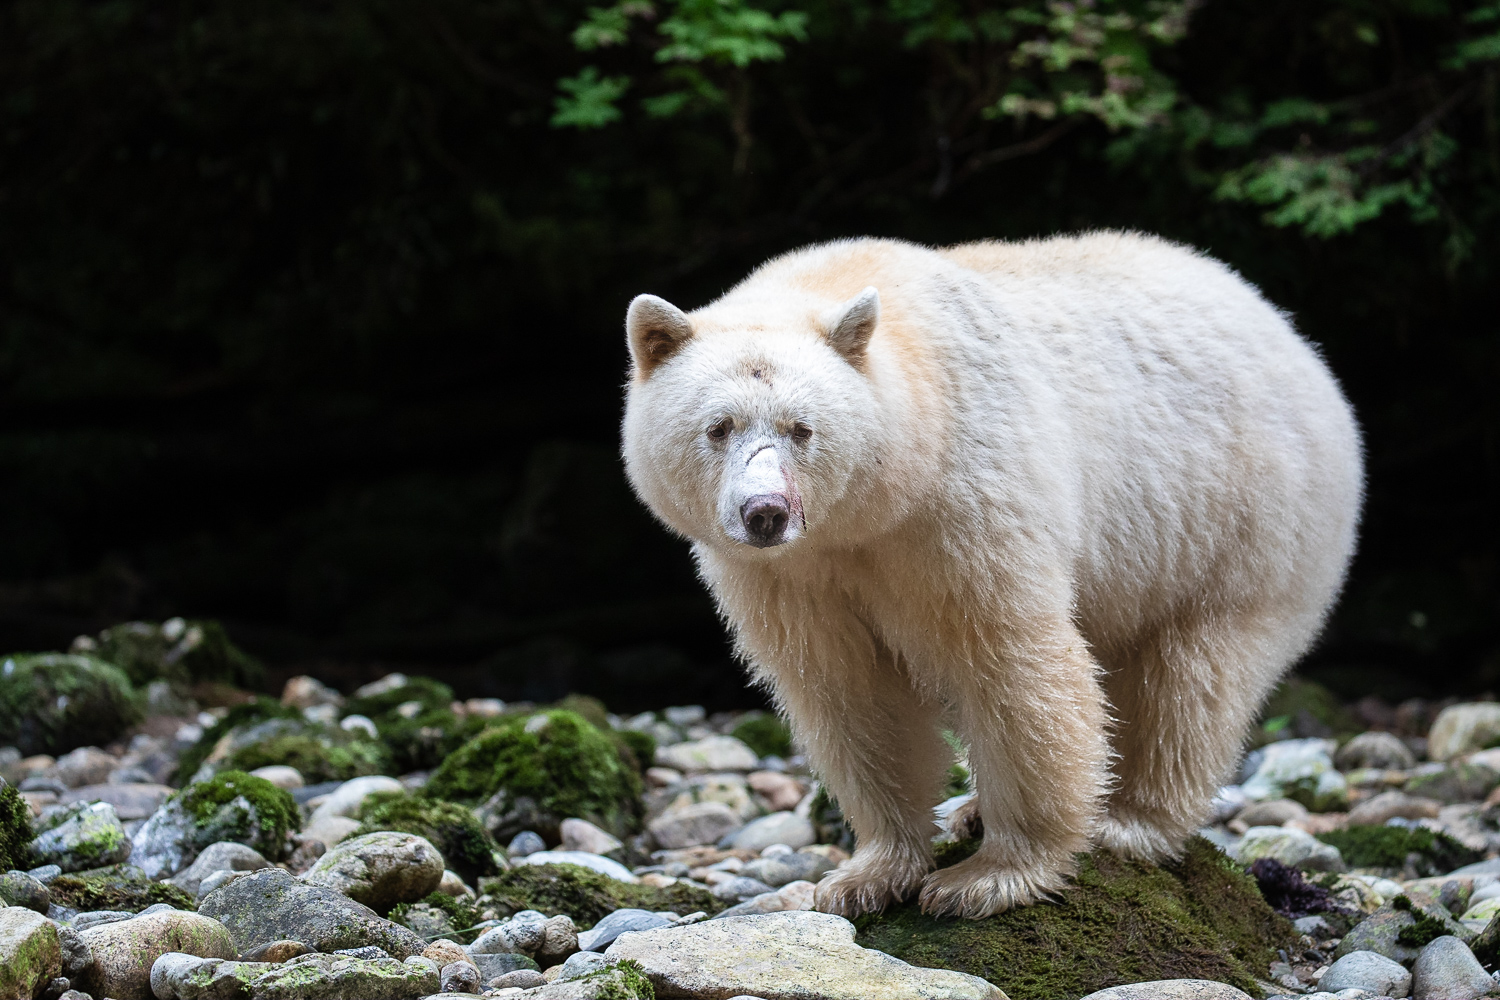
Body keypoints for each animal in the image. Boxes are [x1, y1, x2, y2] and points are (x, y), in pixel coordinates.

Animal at [619, 232, 1363, 919]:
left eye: (802, 428)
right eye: (719, 426)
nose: (766, 512)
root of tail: (1284, 327)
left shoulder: (964, 492)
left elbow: (1005, 658)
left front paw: (984, 878)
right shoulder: (790, 574)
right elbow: (848, 689)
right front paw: (864, 876)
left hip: (1239, 519)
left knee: (1194, 676)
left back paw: (1131, 820)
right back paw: (980, 808)